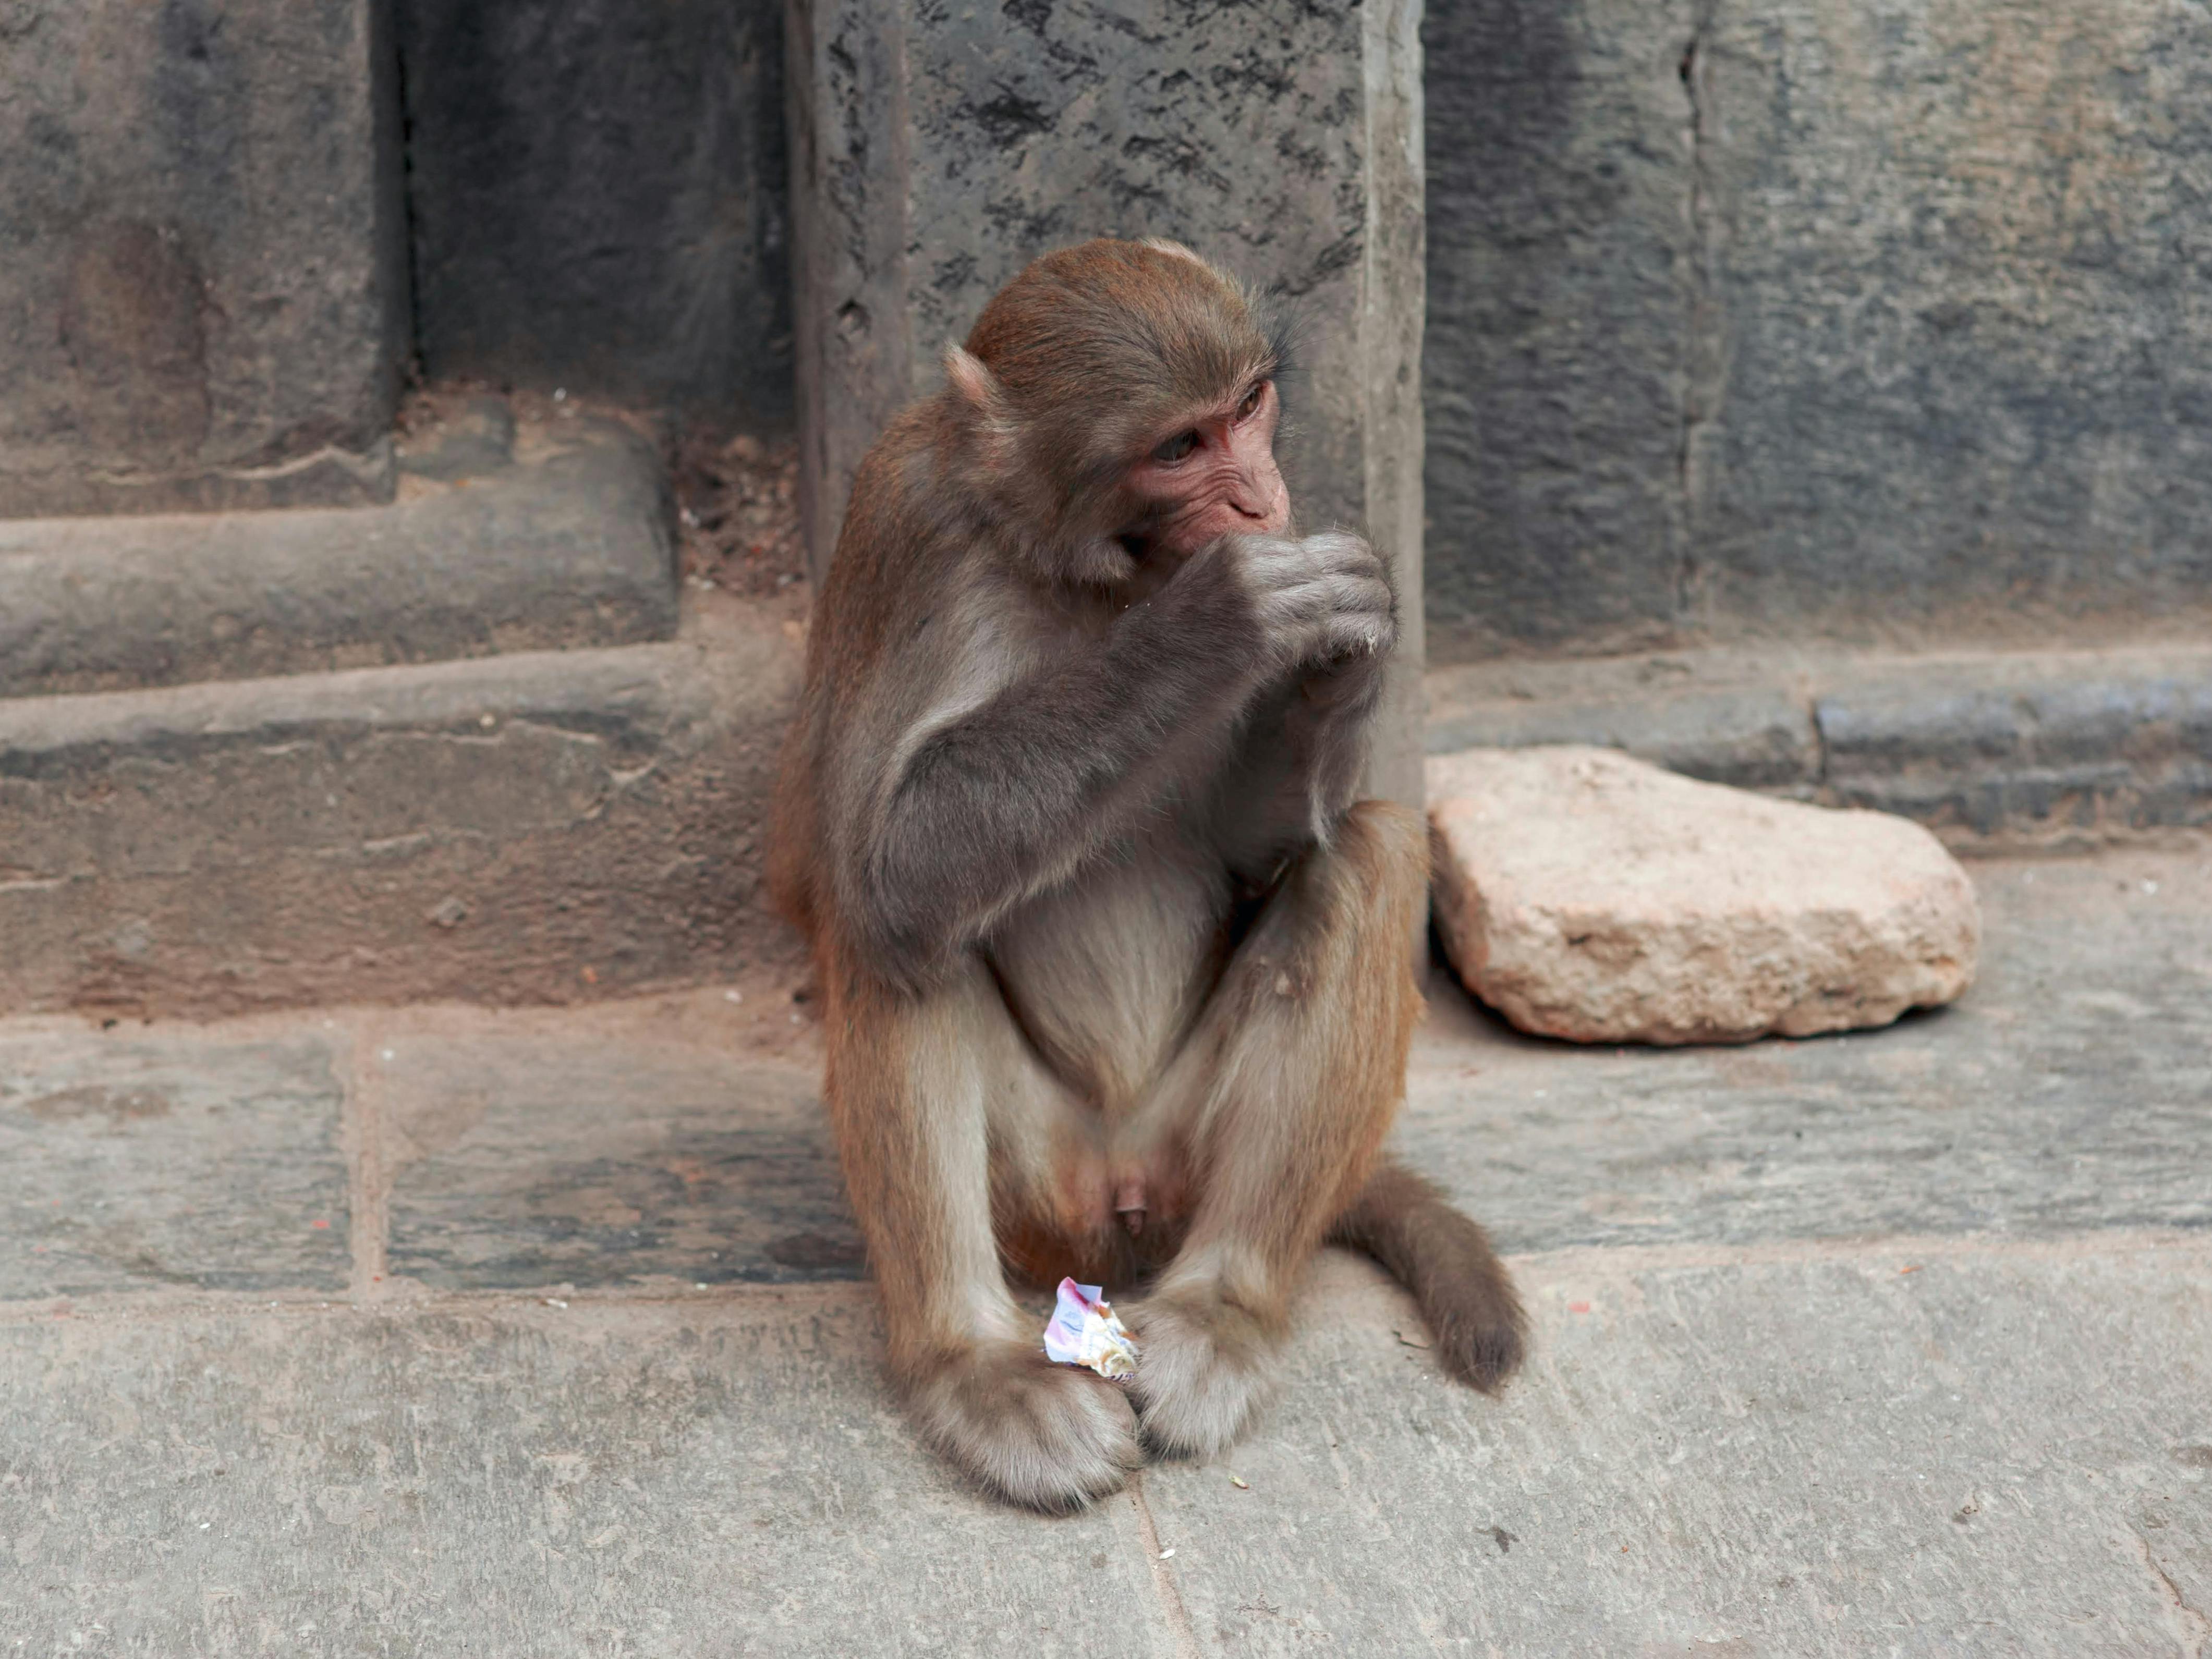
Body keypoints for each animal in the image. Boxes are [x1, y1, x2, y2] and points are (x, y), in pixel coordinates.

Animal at [769, 237, 1524, 1510]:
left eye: (1249, 407)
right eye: (1179, 448)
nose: (1260, 500)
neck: (1085, 572)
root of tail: (1115, 1202)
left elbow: (1262, 850)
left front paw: (1343, 647)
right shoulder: (898, 520)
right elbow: (872, 861)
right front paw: (1219, 620)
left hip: (1185, 1153)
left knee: (1370, 851)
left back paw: (1226, 1306)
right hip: (1034, 1185)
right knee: (894, 934)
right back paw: (974, 1364)